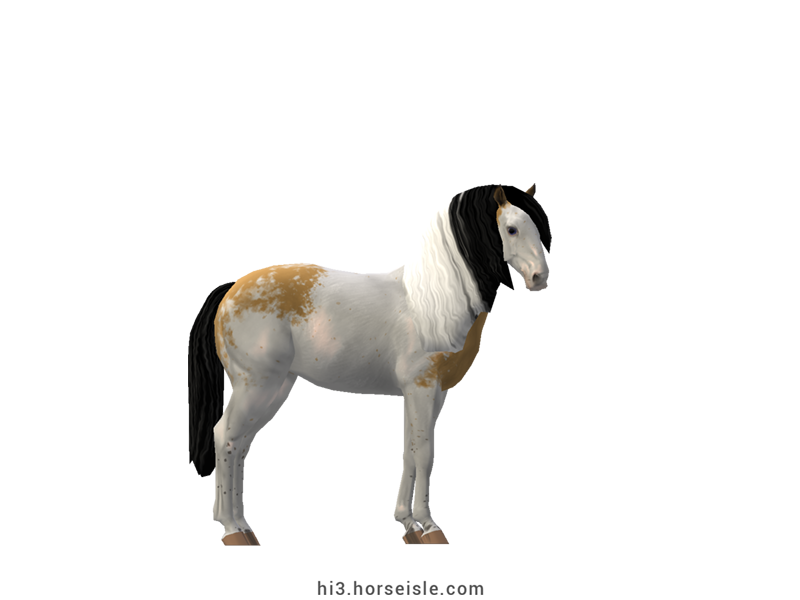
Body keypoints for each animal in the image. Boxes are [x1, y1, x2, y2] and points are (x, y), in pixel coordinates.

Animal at [189, 184, 552, 538]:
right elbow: (424, 453)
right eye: (512, 229)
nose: (541, 276)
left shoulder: (424, 391)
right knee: (224, 437)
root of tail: (231, 291)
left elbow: (410, 450)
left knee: (237, 443)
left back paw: (238, 522)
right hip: (253, 387)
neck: (428, 303)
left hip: (268, 392)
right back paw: (230, 528)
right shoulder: (420, 386)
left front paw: (406, 521)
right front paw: (427, 524)